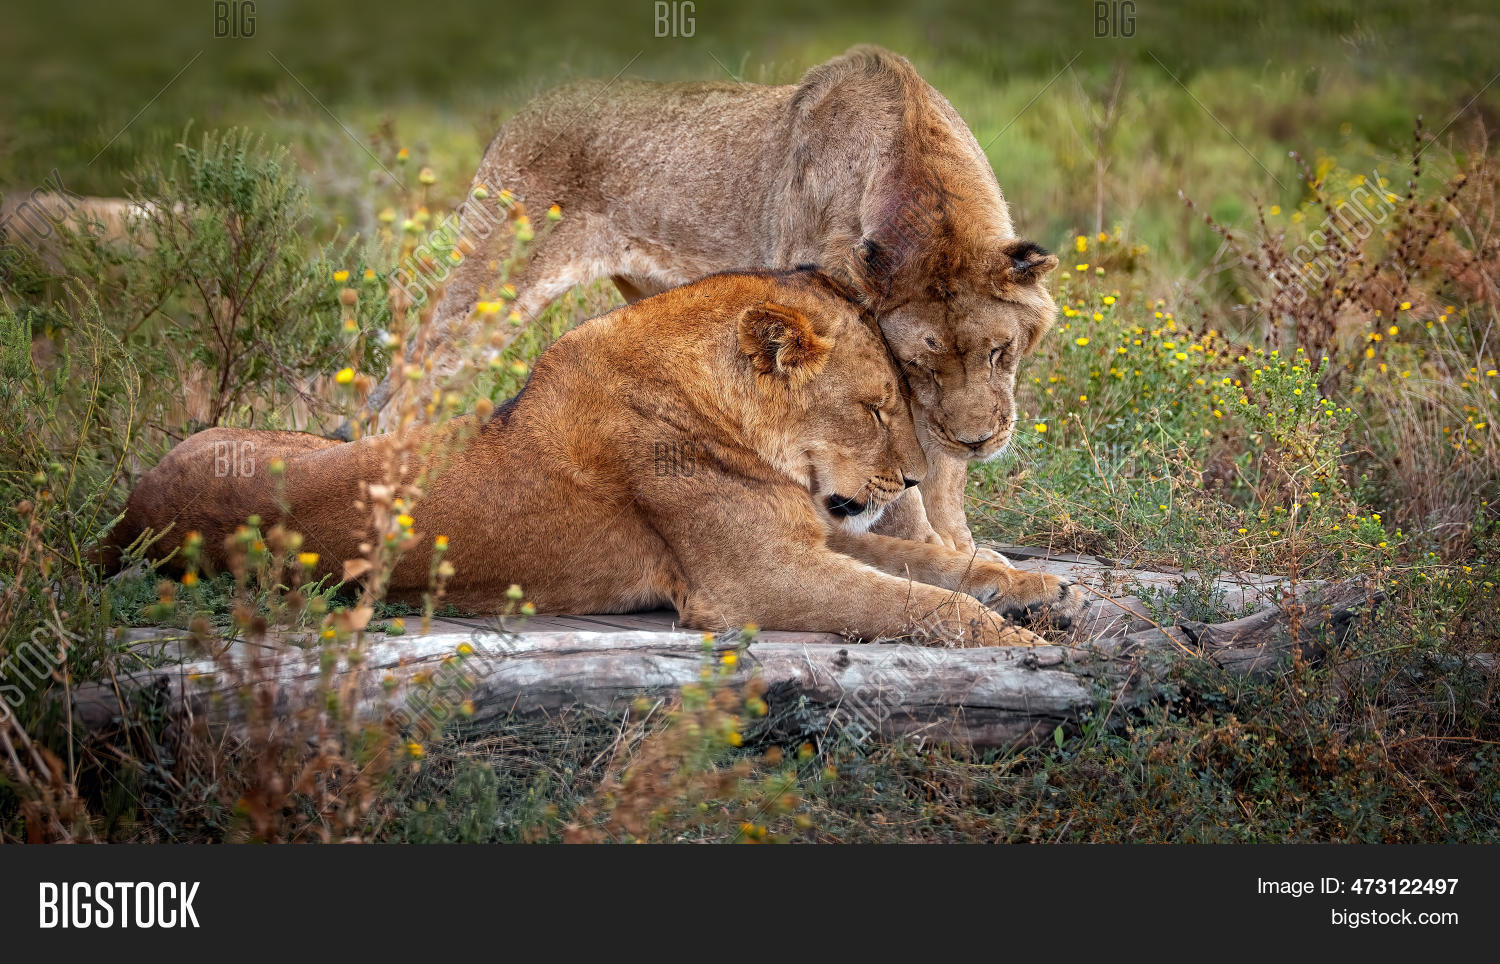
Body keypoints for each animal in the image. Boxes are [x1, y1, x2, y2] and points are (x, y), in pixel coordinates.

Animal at [109, 270, 1082, 645]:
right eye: (876, 406)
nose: (913, 478)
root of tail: (130, 508)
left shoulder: (808, 534)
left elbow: (930, 566)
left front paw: (1036, 588)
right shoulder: (752, 579)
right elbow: (913, 600)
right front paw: (1007, 636)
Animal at [361, 45, 1059, 560]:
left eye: (1000, 351)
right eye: (916, 366)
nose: (979, 442)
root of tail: (521, 111)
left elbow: (941, 475)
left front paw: (963, 543)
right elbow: (903, 477)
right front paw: (942, 551)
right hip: (491, 283)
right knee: (402, 385)